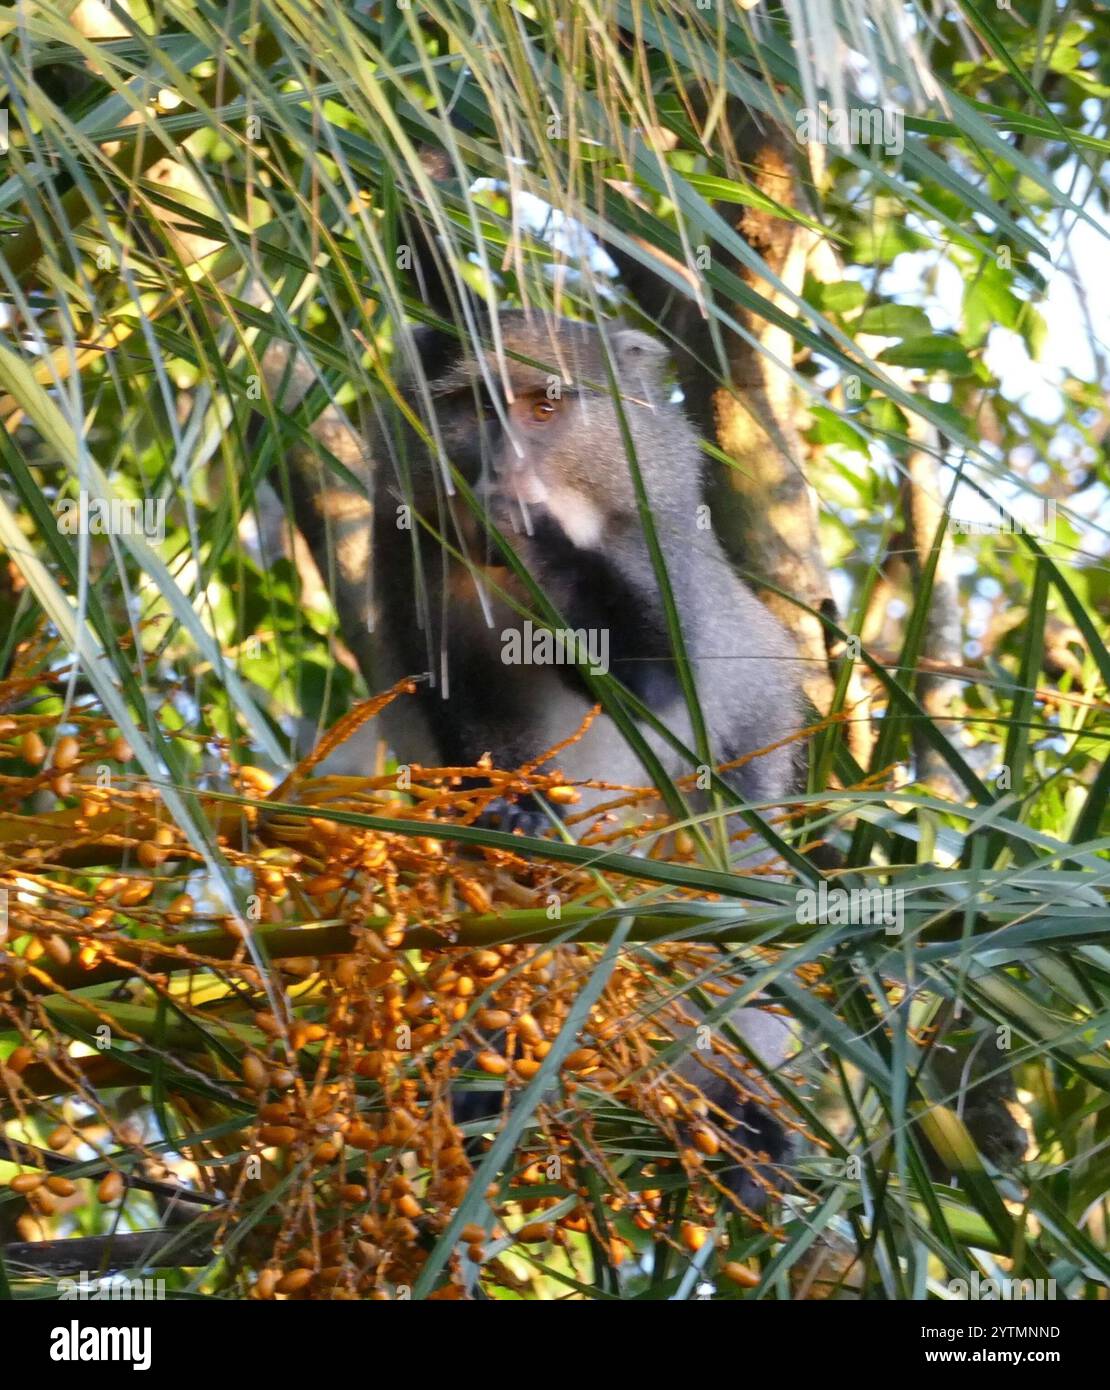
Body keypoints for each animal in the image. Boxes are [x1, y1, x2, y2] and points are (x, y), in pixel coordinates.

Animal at [369, 309, 804, 1208]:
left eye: (543, 406)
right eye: (477, 408)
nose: (501, 469)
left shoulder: (662, 553)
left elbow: (661, 685)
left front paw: (525, 526)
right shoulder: (404, 545)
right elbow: (456, 709)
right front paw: (514, 811)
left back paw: (736, 1115)